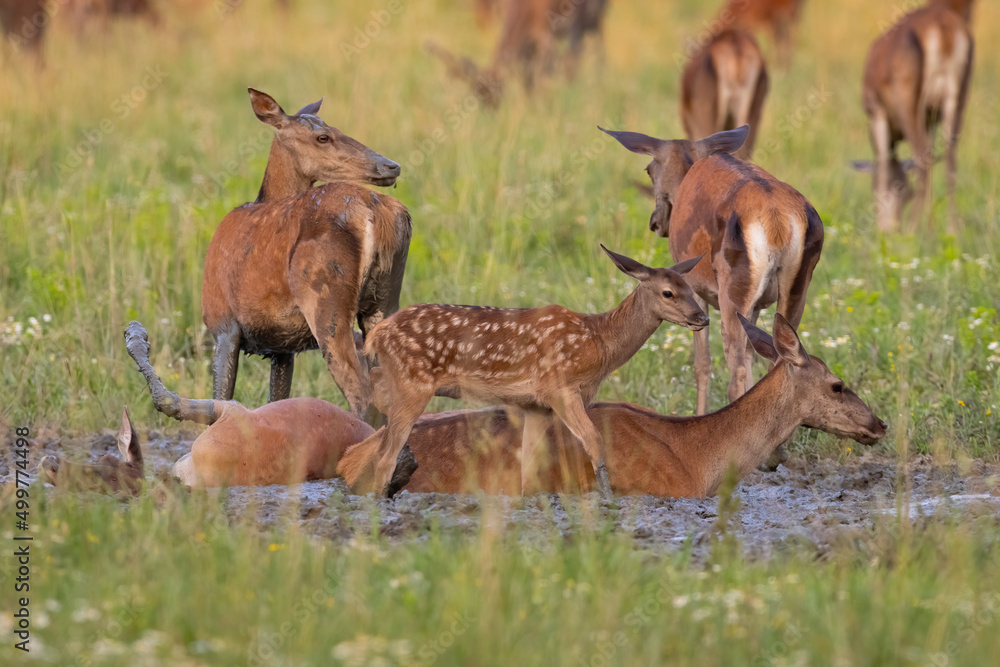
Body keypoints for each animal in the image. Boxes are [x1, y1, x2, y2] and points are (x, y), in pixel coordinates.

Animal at [201, 89, 411, 425]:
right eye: (323, 136)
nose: (392, 166)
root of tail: (374, 213)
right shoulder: (282, 349)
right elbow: (275, 403)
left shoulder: (222, 325)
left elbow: (217, 407)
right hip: (384, 299)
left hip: (326, 299)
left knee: (364, 399)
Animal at [337, 246, 709, 500]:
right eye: (668, 292)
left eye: (693, 289)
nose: (702, 318)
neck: (600, 342)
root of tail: (378, 334)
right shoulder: (560, 386)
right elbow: (594, 441)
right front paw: (607, 498)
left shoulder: (535, 405)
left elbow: (530, 467)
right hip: (413, 383)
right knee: (384, 457)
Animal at [603, 124, 823, 469]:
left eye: (649, 168)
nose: (656, 222)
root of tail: (777, 219)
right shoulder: (756, 306)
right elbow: (754, 353)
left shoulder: (694, 288)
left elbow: (702, 363)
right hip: (796, 287)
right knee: (781, 355)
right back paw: (776, 450)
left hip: (733, 291)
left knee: (735, 367)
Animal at [851, 0, 974, 232]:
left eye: (904, 192)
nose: (891, 229)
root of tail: (942, 26)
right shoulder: (931, 121)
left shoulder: (877, 115)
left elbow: (883, 166)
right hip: (955, 103)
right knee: (949, 159)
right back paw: (951, 230)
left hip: (911, 107)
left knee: (922, 158)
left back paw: (913, 229)